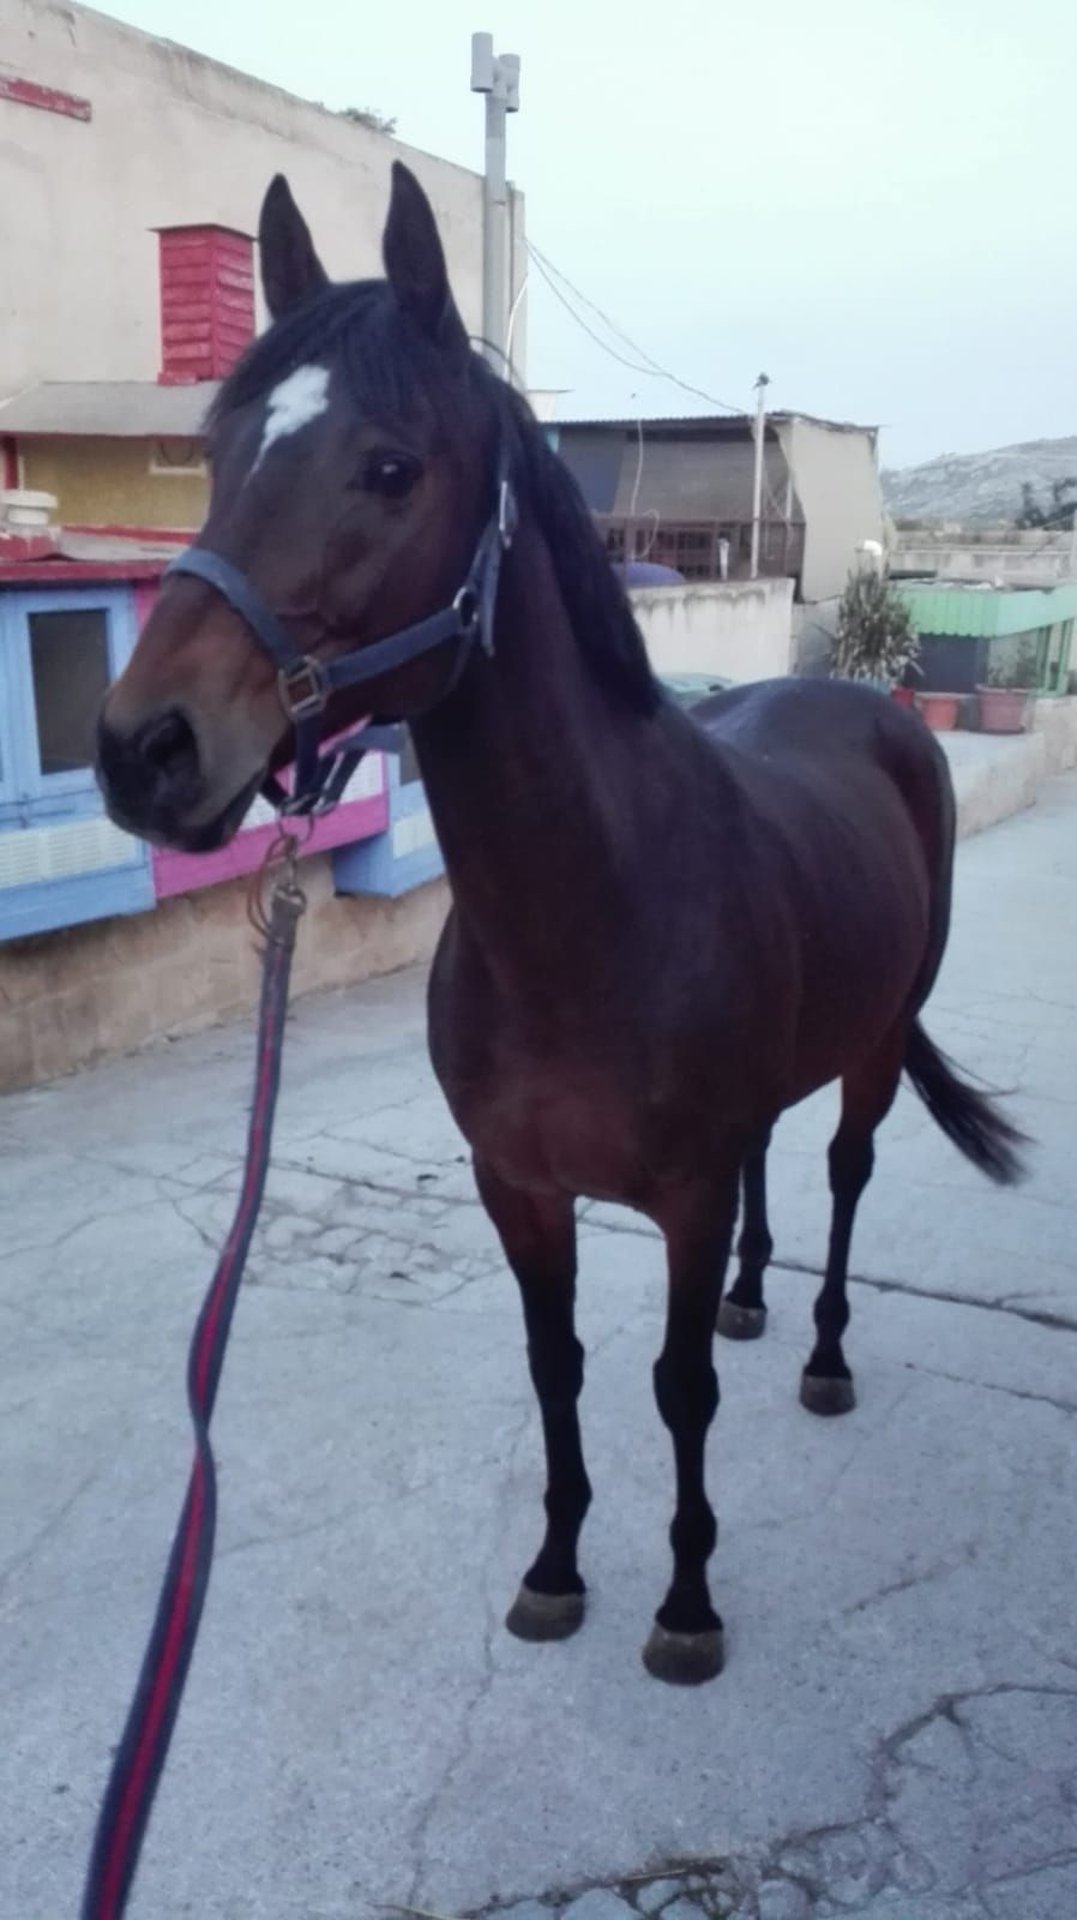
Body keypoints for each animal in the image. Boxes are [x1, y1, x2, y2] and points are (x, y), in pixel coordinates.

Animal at [96, 161, 1024, 1686]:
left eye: (390, 467)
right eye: (222, 450)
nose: (141, 751)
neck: (589, 917)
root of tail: (870, 705)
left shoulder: (681, 1196)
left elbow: (677, 1387)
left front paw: (687, 1603)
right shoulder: (518, 1190)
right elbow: (560, 1370)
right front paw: (552, 1567)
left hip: (878, 1045)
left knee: (841, 1177)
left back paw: (821, 1352)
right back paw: (755, 1296)